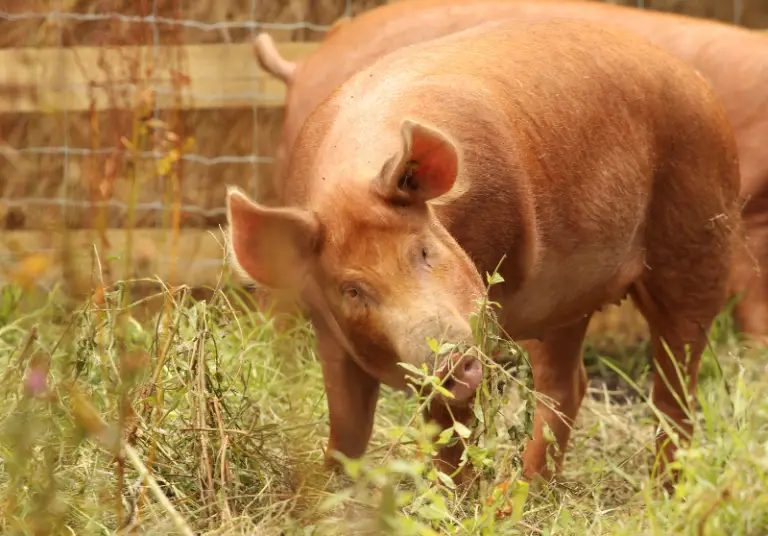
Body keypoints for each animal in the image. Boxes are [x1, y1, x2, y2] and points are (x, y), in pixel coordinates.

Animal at [228, 18, 741, 485]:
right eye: (352, 289)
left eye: (425, 251)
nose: (449, 361)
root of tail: (699, 84)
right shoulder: (327, 327)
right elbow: (347, 427)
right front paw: (323, 496)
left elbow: (450, 434)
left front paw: (457, 501)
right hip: (565, 294)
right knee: (566, 385)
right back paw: (524, 494)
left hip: (698, 243)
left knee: (676, 386)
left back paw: (663, 492)